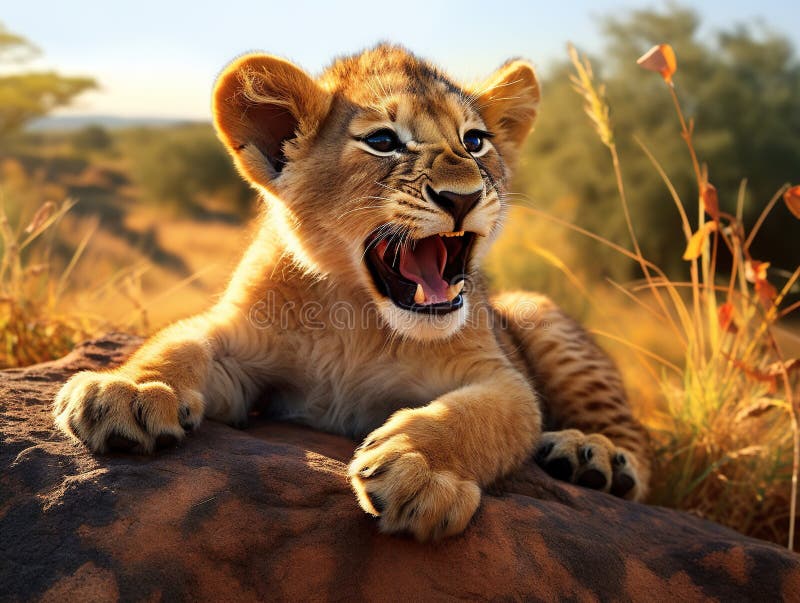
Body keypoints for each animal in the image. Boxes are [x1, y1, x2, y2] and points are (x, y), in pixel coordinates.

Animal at [54, 44, 651, 541]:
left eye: (474, 142)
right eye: (383, 142)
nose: (462, 197)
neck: (356, 315)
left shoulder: (503, 378)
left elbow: (473, 418)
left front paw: (418, 469)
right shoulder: (240, 350)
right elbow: (177, 343)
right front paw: (126, 391)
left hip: (538, 315)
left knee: (637, 445)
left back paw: (592, 456)